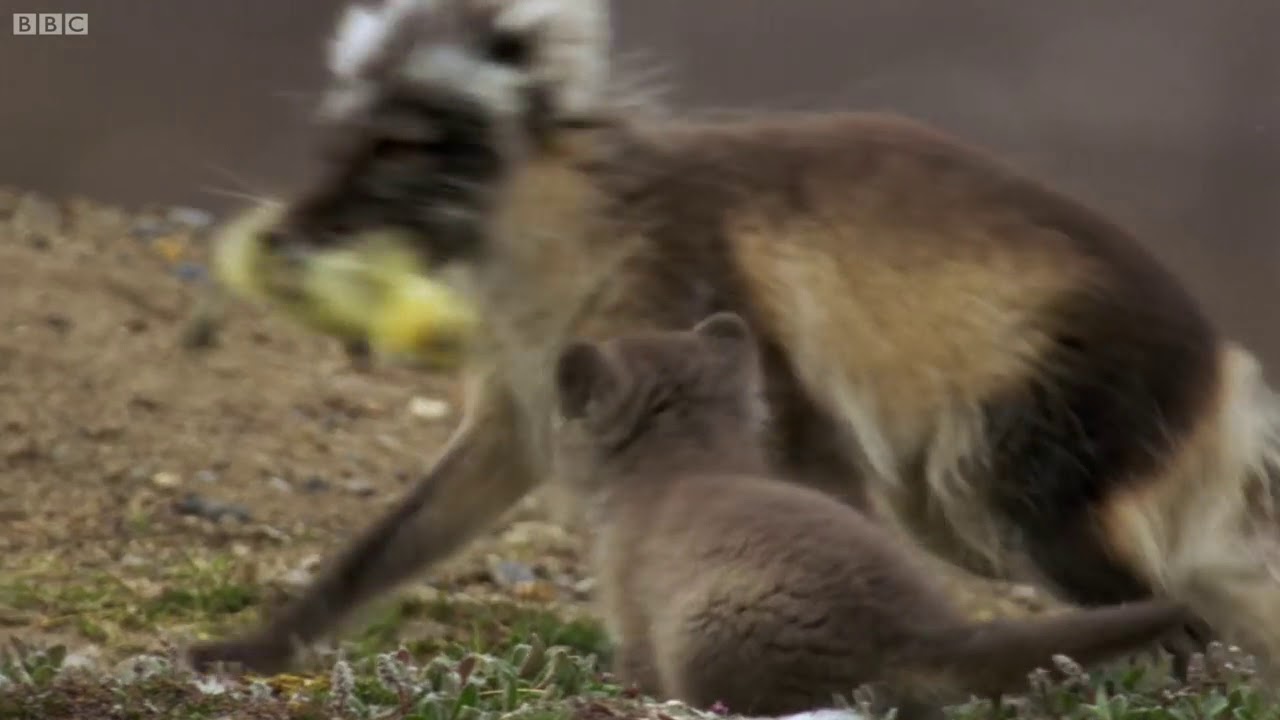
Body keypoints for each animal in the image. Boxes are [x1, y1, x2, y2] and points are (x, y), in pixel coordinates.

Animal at [188, 0, 1280, 676]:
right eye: (341, 134)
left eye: (403, 142)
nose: (280, 236)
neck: (553, 236)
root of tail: (1222, 372)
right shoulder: (520, 408)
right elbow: (386, 541)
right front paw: (259, 650)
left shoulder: (753, 364)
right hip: (974, 505)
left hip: (1019, 476)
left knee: (1177, 614)